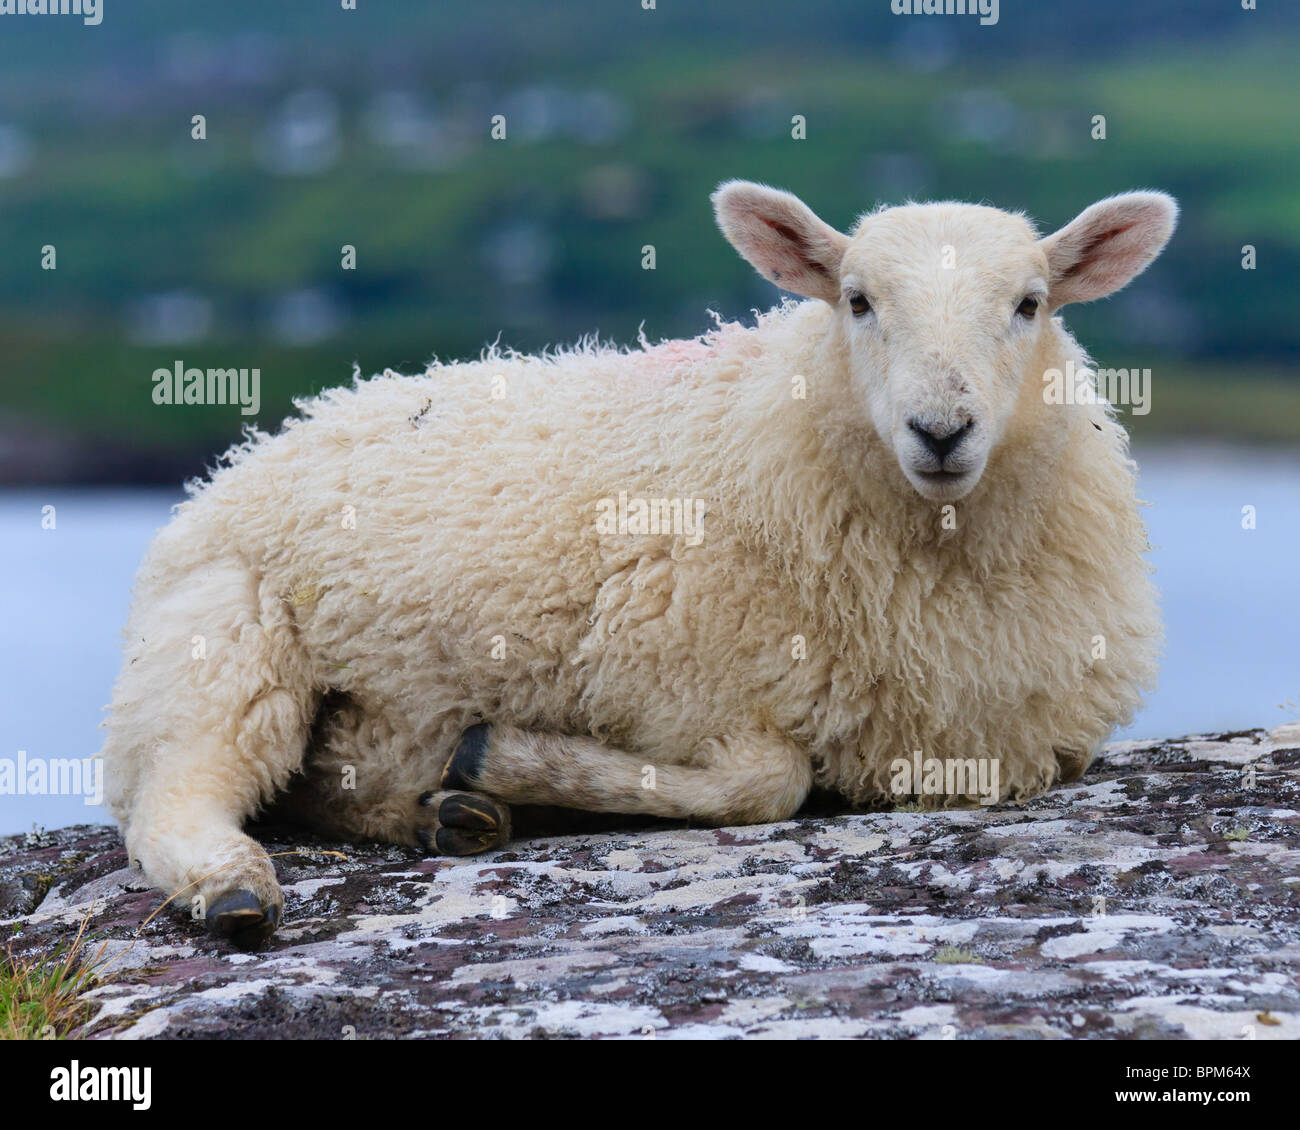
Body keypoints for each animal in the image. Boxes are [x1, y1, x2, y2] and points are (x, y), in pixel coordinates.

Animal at [102, 182, 1176, 944]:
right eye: (858, 301)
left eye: (1030, 303)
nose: (941, 431)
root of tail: (260, 444)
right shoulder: (656, 675)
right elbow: (769, 783)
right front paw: (514, 757)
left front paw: (489, 776)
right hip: (226, 638)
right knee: (174, 799)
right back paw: (238, 886)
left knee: (318, 785)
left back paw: (439, 816)